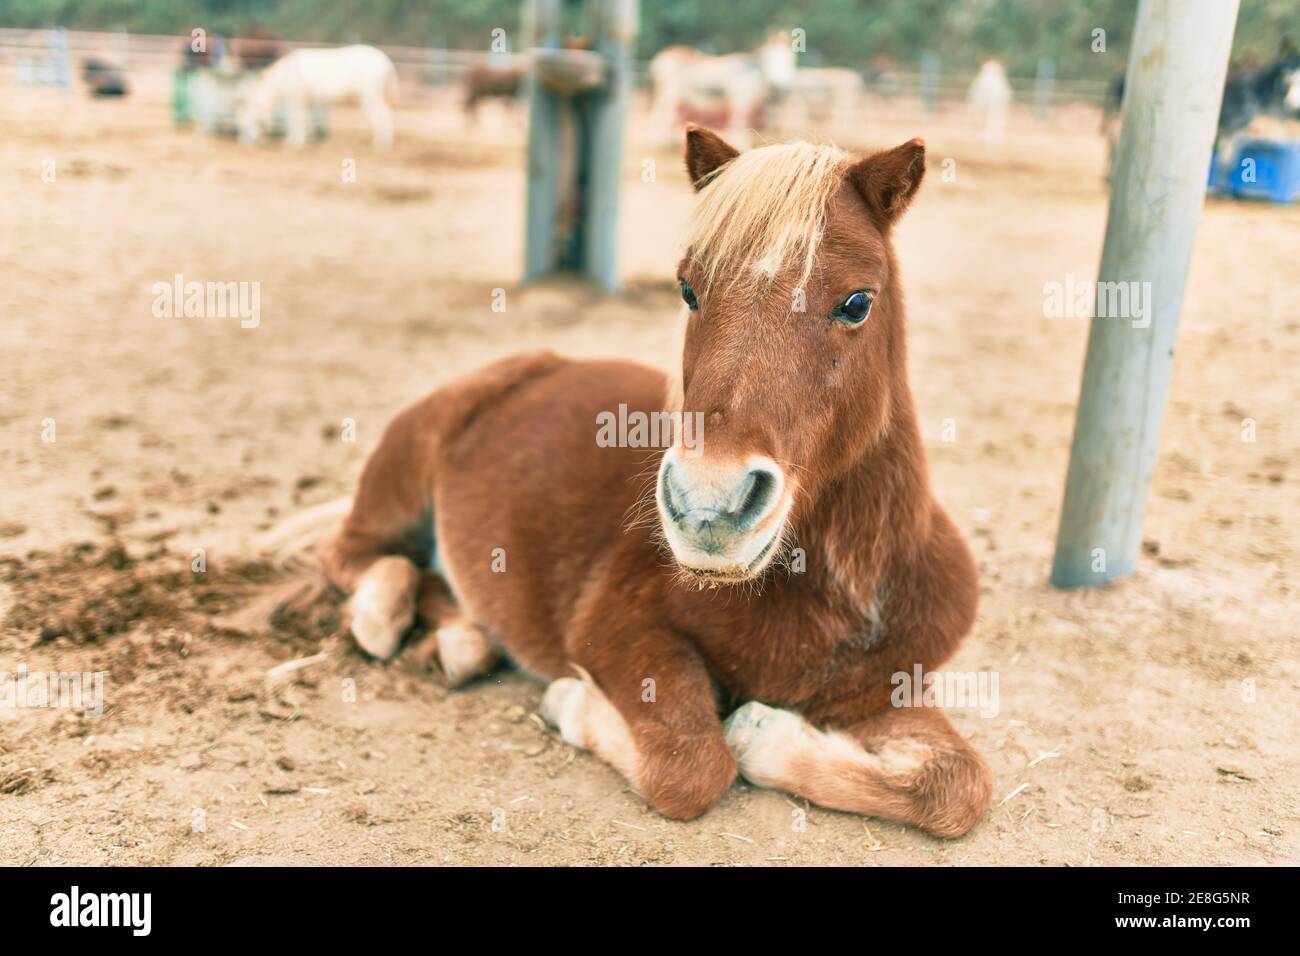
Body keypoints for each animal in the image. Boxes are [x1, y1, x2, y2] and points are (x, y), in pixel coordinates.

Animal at [238, 44, 398, 149]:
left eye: (249, 121)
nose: (245, 144)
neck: (284, 75)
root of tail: (386, 61)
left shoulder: (295, 97)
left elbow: (295, 119)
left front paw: (294, 142)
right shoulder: (304, 99)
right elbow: (304, 119)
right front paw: (303, 140)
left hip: (370, 94)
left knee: (382, 115)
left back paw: (380, 145)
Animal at [283, 126, 992, 836]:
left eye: (857, 303)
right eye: (688, 290)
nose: (709, 508)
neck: (831, 592)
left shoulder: (879, 689)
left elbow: (958, 785)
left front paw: (765, 731)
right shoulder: (622, 633)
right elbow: (691, 764)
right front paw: (571, 701)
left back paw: (462, 642)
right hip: (401, 482)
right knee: (354, 559)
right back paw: (391, 617)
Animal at [648, 31, 797, 147]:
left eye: (791, 59)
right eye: (773, 58)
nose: (783, 85)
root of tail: (663, 56)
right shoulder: (740, 101)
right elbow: (739, 123)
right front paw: (740, 145)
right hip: (669, 95)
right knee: (661, 114)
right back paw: (661, 143)